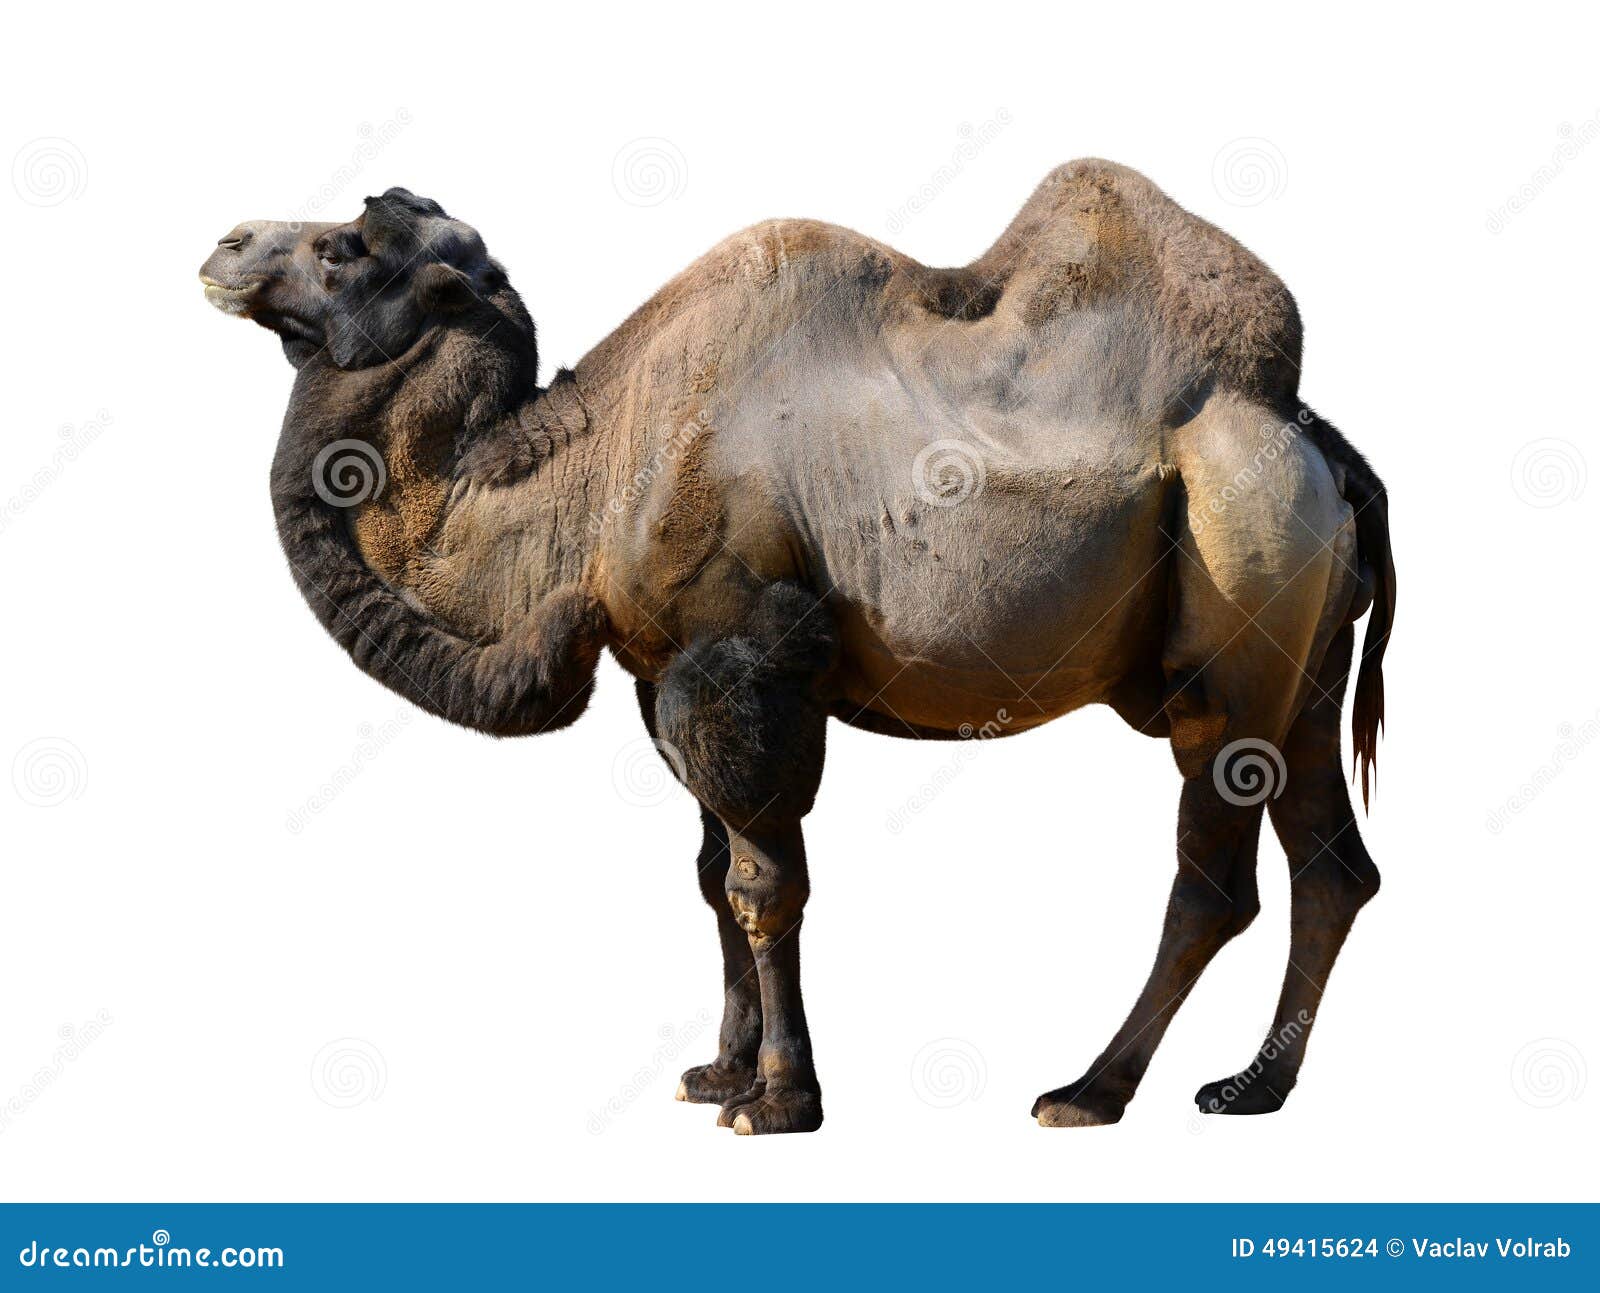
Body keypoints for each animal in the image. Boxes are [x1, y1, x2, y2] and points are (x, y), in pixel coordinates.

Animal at [199, 161, 1394, 1134]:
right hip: (1305, 652)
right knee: (1332, 864)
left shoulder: (746, 653)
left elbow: (764, 885)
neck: (594, 467)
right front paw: (718, 1076)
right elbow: (709, 873)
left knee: (1215, 879)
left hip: (1238, 597)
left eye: (344, 248)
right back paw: (1251, 1087)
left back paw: (1088, 1091)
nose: (223, 244)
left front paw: (779, 1100)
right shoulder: (668, 675)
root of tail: (1318, 448)